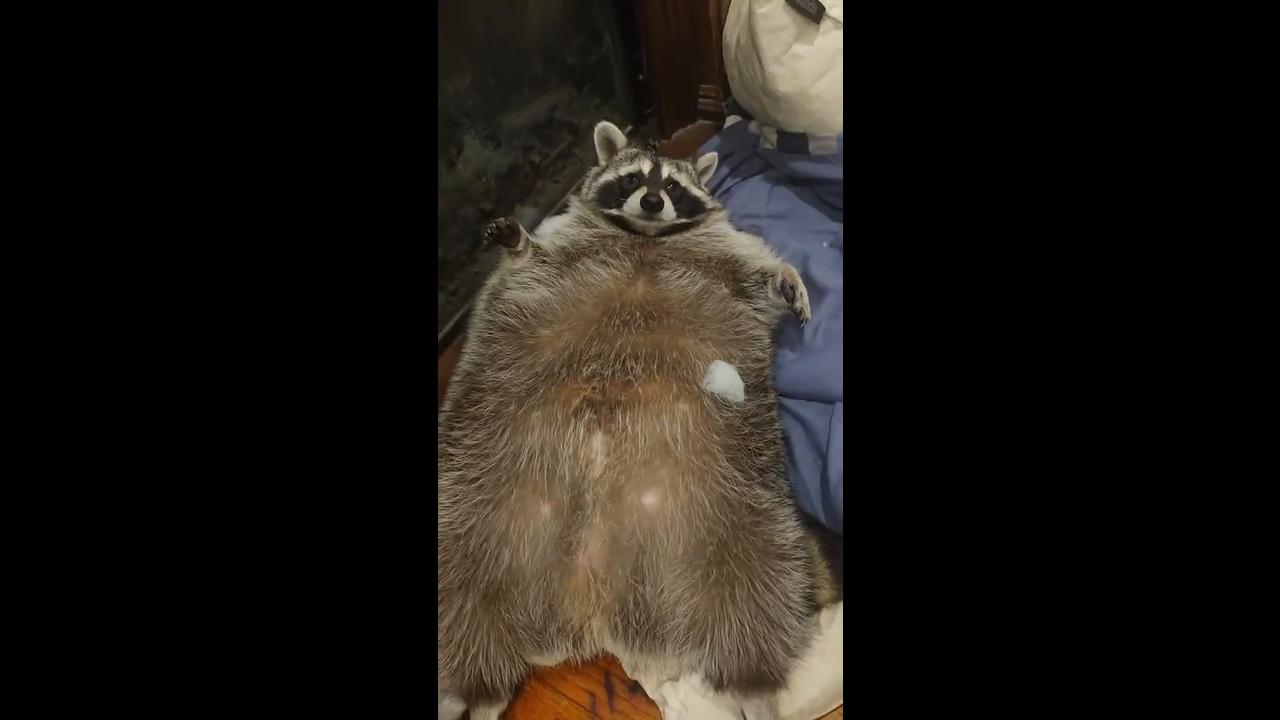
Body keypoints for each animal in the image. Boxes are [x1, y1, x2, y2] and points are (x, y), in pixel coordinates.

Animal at [438, 120, 835, 720]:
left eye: (671, 186)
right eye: (631, 178)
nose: (650, 200)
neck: (647, 237)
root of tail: (589, 608)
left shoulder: (726, 254)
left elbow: (759, 274)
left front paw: (787, 276)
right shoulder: (563, 248)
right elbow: (530, 259)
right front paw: (517, 240)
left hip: (744, 519)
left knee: (758, 591)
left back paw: (752, 683)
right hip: (467, 505)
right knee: (458, 596)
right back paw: (467, 687)